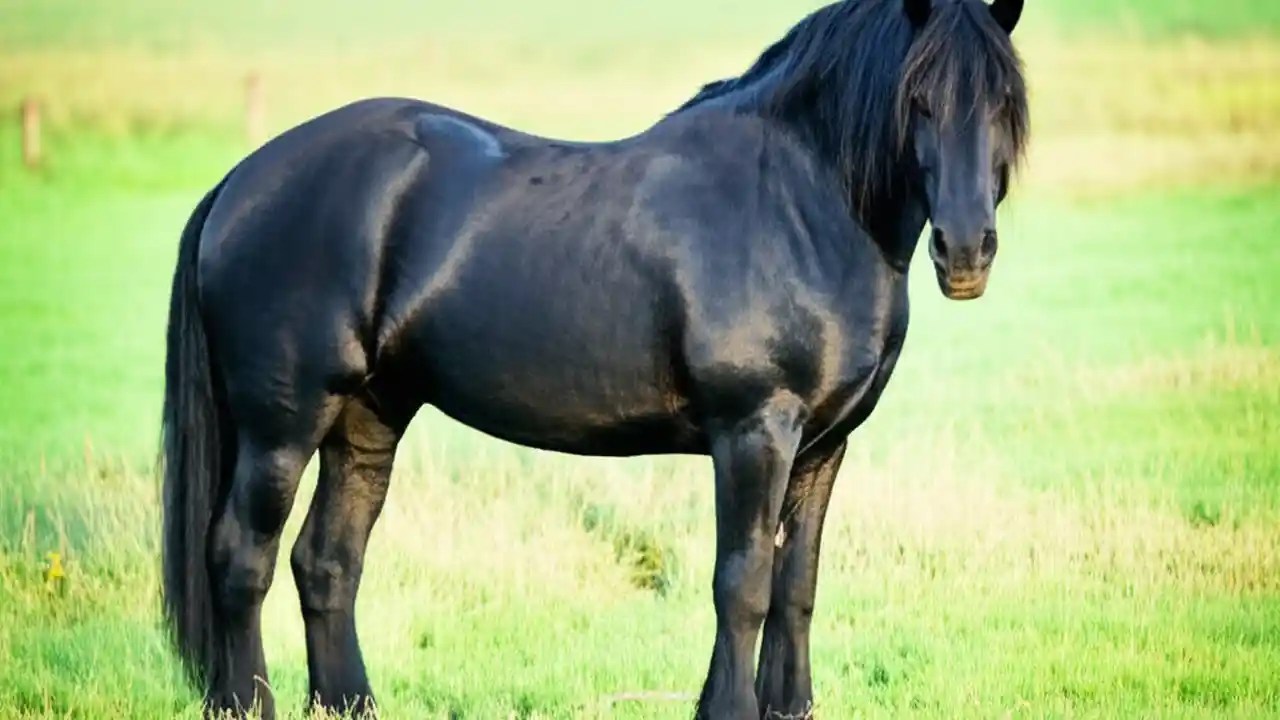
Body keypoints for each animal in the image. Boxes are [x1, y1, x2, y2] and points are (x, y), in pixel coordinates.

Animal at [160, 0, 1029, 717]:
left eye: (1002, 103)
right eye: (917, 100)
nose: (965, 252)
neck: (797, 201)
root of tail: (242, 180)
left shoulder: (824, 446)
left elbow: (797, 586)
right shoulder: (755, 431)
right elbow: (743, 582)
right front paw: (727, 707)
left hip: (368, 418)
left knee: (328, 561)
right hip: (282, 425)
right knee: (241, 556)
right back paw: (245, 702)